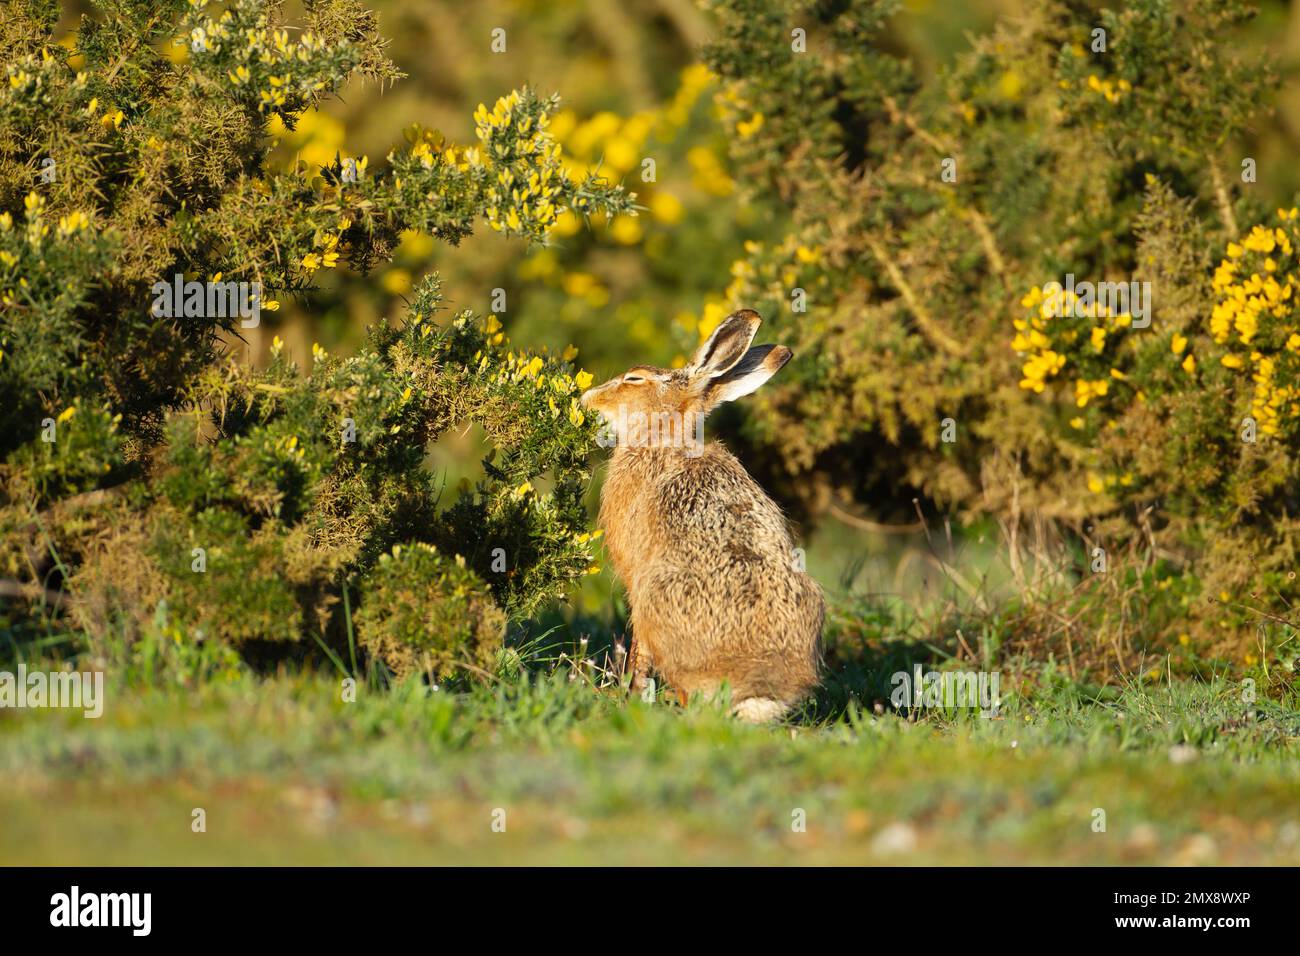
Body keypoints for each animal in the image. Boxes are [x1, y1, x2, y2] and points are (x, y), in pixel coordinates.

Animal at [581, 308, 823, 722]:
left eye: (634, 379)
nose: (587, 400)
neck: (662, 438)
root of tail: (757, 690)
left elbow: (639, 652)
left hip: (656, 597)